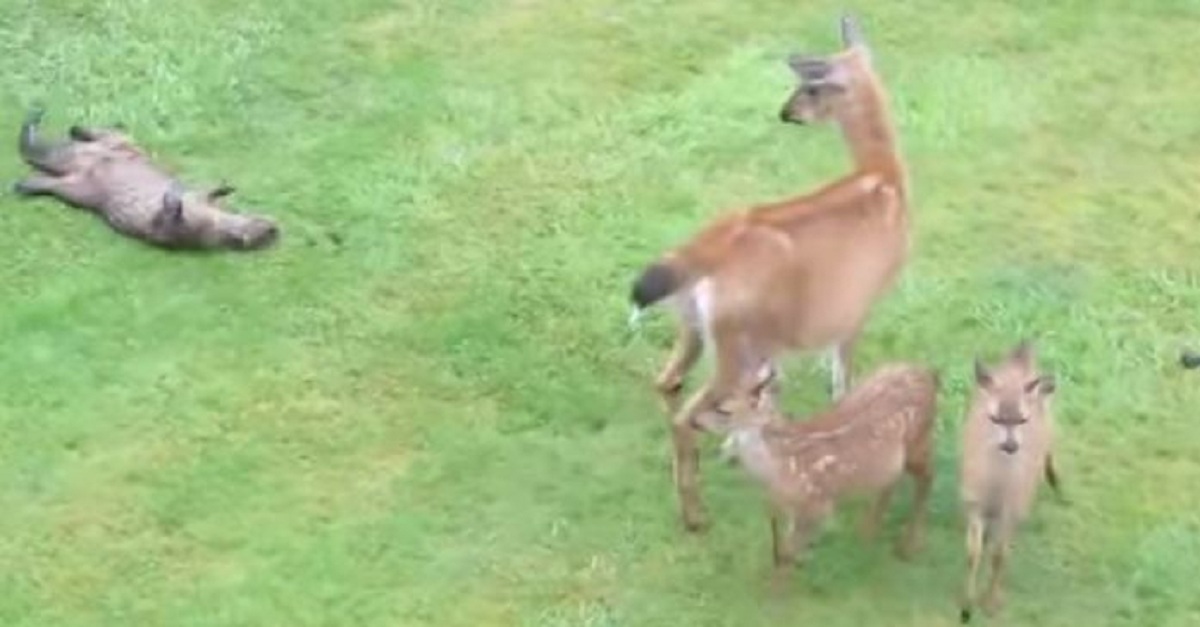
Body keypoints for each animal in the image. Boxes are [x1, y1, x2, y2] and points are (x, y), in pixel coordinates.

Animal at [11, 107, 280, 251]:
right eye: (263, 223)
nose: (273, 226)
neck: (211, 224)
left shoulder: (174, 232)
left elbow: (166, 220)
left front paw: (173, 201)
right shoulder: (199, 200)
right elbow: (203, 192)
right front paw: (223, 188)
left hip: (75, 188)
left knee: (36, 158)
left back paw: (24, 181)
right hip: (116, 143)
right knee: (100, 132)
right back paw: (71, 127)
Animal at [626, 13, 912, 531]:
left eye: (811, 88)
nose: (785, 112)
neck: (885, 181)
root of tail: (706, 249)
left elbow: (772, 386)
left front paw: (743, 444)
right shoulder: (857, 305)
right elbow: (840, 374)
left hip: (695, 326)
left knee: (666, 383)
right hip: (735, 339)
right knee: (685, 414)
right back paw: (695, 516)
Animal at [695, 363, 937, 591]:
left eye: (724, 410)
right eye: (709, 394)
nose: (693, 421)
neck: (780, 468)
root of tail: (928, 374)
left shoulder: (818, 504)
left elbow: (787, 552)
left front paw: (776, 594)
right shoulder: (789, 507)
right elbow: (783, 547)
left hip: (919, 440)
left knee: (927, 478)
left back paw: (908, 547)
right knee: (892, 482)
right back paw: (867, 533)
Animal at [959, 341, 1063, 622]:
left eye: (1023, 419)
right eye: (994, 417)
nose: (1011, 446)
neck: (998, 489)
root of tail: (1021, 356)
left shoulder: (1013, 508)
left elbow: (1000, 556)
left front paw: (991, 604)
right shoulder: (974, 502)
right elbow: (973, 552)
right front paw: (966, 606)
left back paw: (1056, 482)